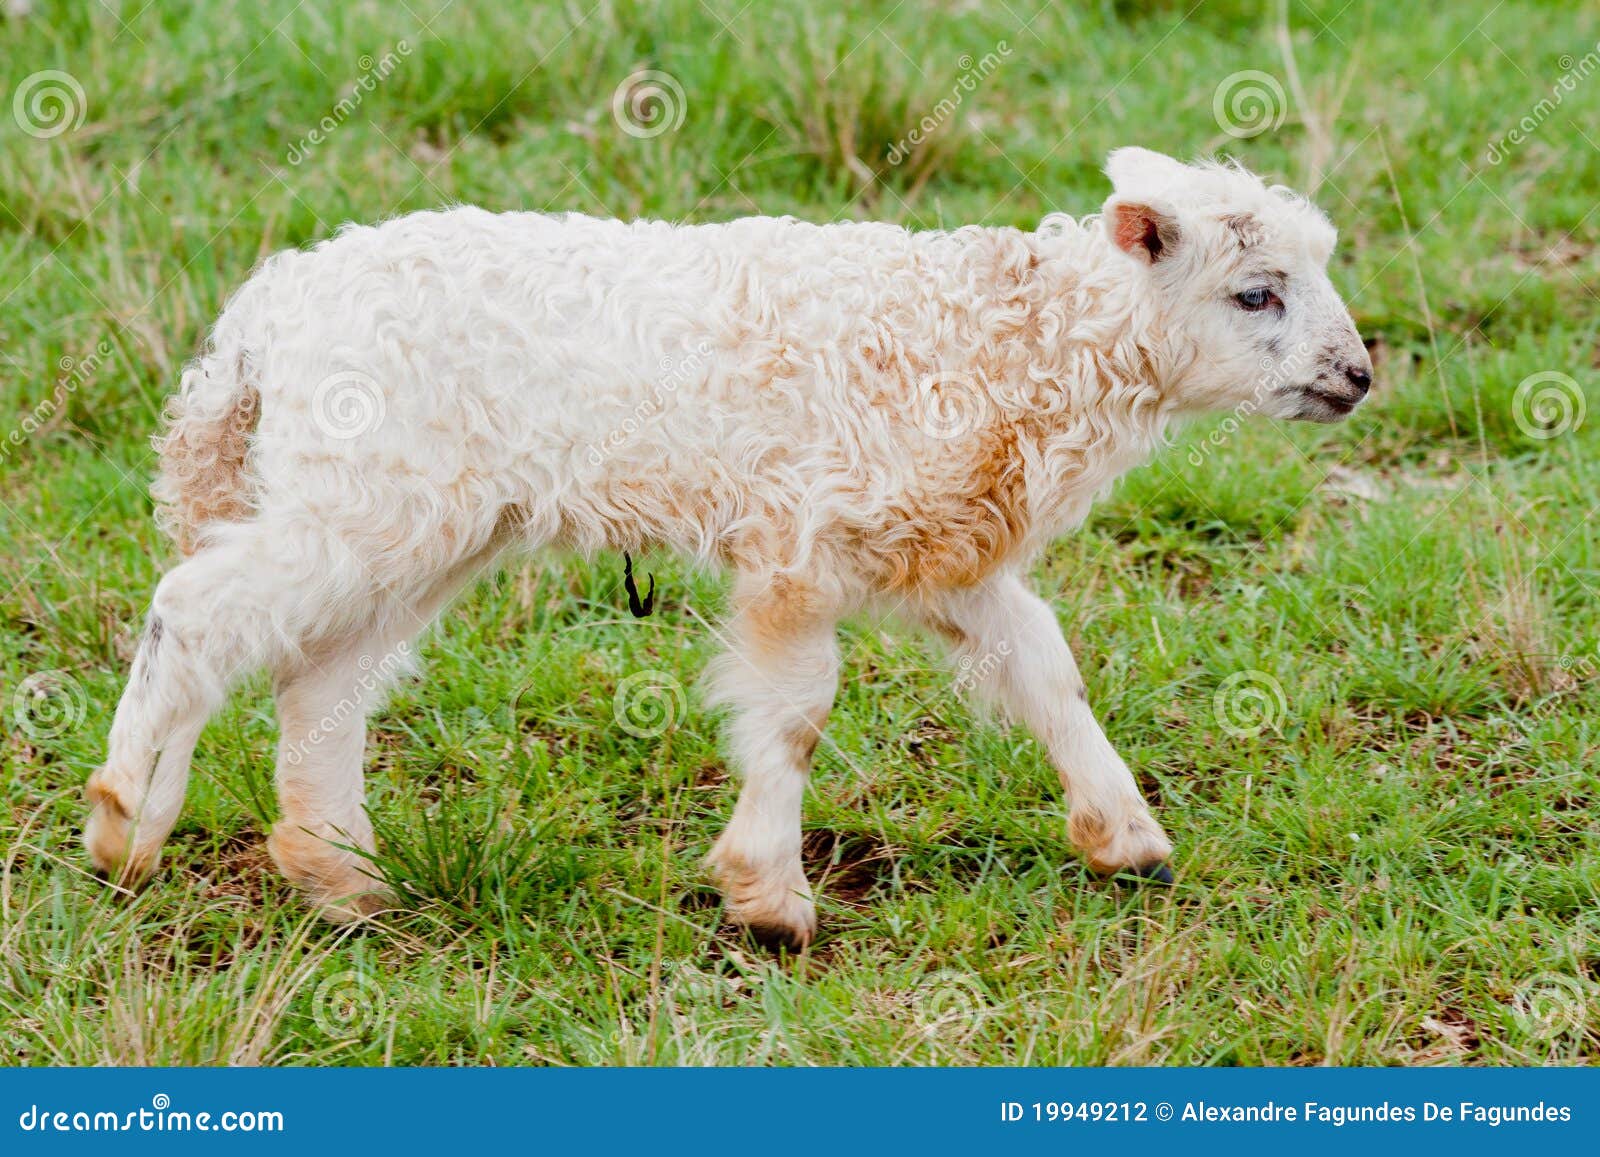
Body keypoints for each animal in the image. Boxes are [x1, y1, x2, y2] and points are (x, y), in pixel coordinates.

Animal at [86, 147, 1372, 947]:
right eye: (1257, 293)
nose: (1358, 375)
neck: (1009, 339)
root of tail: (267, 309)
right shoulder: (803, 540)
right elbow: (796, 710)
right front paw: (770, 895)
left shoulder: (941, 546)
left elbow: (1045, 672)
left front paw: (1128, 840)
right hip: (367, 493)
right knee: (201, 608)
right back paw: (126, 825)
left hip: (422, 516)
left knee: (320, 674)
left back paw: (338, 873)